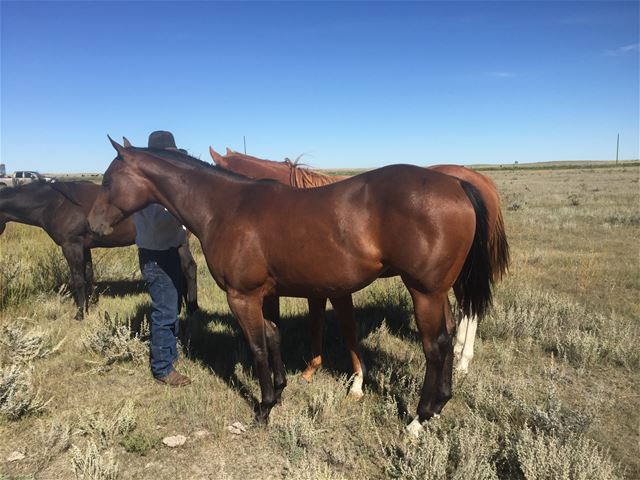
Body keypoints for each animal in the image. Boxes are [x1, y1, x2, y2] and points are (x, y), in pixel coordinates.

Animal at [0, 180, 199, 320]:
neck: (55, 203)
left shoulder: (71, 246)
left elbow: (78, 279)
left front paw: (80, 314)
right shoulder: (84, 246)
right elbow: (88, 275)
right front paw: (91, 305)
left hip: (180, 243)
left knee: (189, 268)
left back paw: (192, 309)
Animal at [209, 148, 509, 385]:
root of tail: (473, 182)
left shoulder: (334, 289)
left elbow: (342, 328)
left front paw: (354, 380)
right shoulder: (318, 287)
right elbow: (318, 323)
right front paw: (312, 369)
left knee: (470, 311)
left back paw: (463, 360)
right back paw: (458, 352)